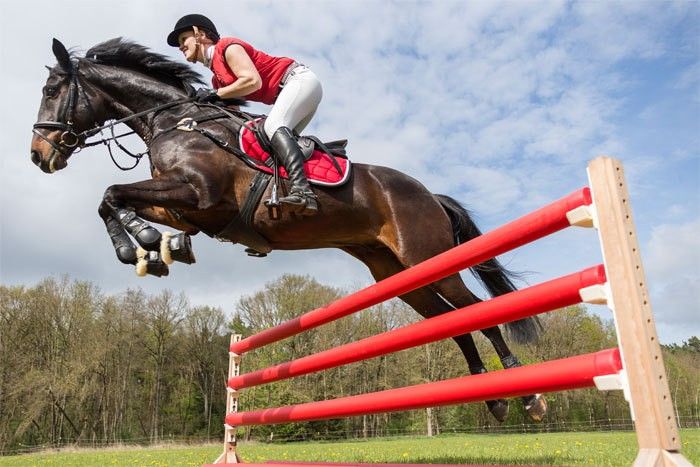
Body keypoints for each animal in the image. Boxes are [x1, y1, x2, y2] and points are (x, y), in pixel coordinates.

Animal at [30, 38, 547, 423]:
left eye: (53, 88)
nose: (39, 155)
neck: (174, 121)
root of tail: (429, 195)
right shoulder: (187, 208)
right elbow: (114, 199)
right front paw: (156, 248)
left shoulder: (198, 195)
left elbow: (111, 192)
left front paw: (143, 246)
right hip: (398, 275)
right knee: (449, 321)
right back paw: (493, 396)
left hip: (428, 258)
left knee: (474, 310)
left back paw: (526, 394)